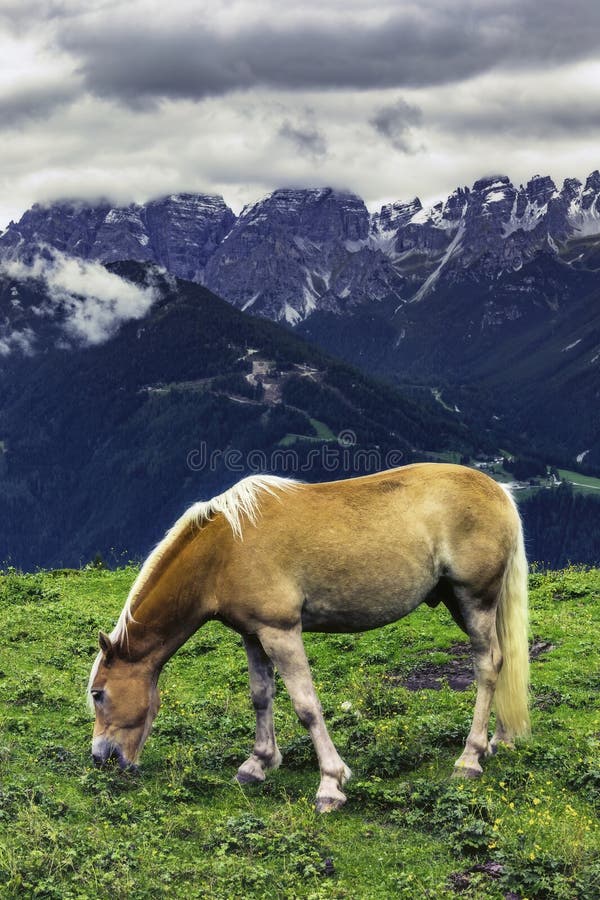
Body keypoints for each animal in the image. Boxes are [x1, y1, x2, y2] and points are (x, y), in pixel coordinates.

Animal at [88, 463, 530, 812]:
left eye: (98, 693)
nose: (100, 758)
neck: (227, 549)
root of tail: (499, 492)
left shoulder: (281, 632)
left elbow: (306, 707)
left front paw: (330, 784)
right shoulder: (253, 635)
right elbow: (260, 696)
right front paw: (258, 763)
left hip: (475, 600)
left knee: (487, 666)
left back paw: (470, 757)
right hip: (461, 602)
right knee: (501, 659)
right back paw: (499, 739)